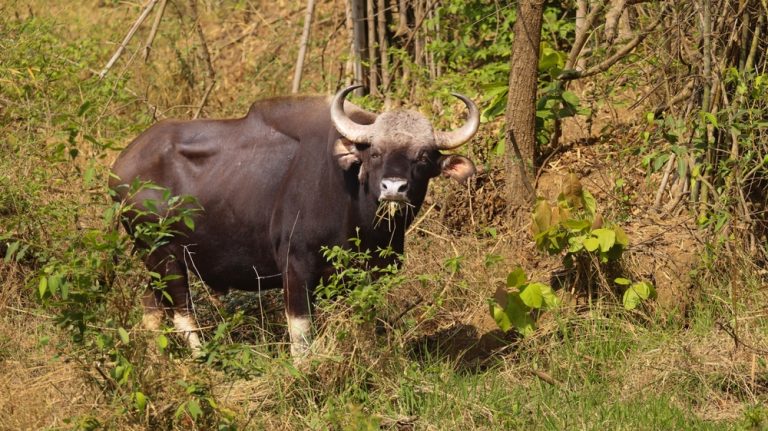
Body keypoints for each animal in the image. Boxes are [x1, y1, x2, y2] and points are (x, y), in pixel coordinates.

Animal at [110, 85, 479, 356]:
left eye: (424, 157)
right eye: (375, 153)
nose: (393, 188)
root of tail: (120, 169)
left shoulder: (373, 273)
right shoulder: (296, 267)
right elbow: (301, 336)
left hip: (153, 261)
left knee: (151, 308)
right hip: (164, 255)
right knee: (182, 312)